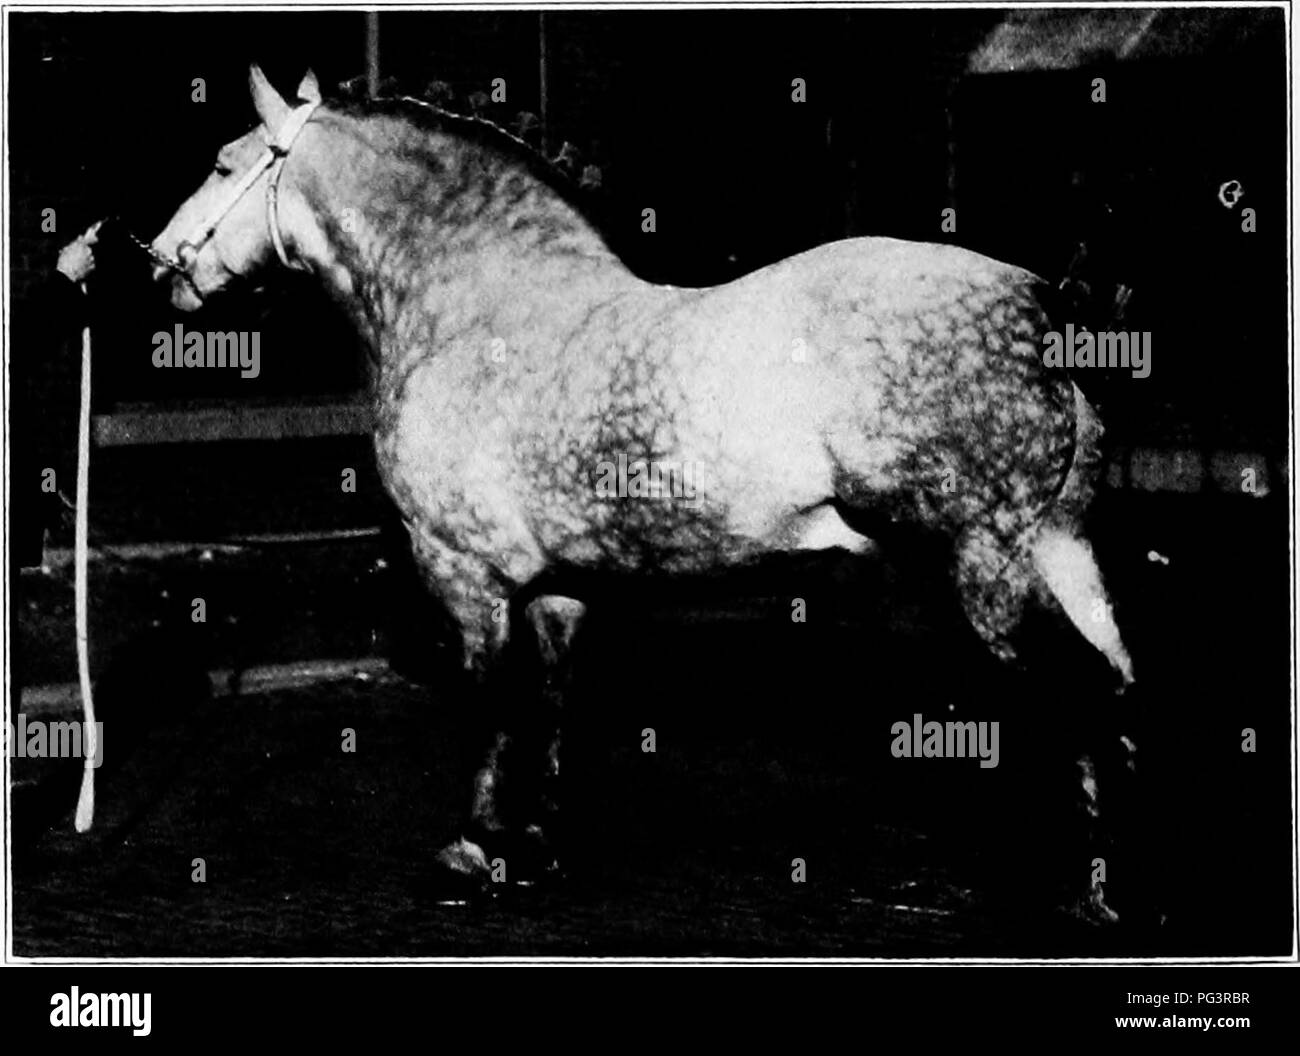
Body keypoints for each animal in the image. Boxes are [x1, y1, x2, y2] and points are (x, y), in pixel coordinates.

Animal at [150, 67, 1140, 922]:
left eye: (226, 163)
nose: (162, 262)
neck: (477, 316)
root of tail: (1046, 304)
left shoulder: (465, 576)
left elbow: (492, 707)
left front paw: (473, 849)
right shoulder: (556, 587)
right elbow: (548, 707)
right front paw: (536, 843)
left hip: (983, 576)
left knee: (1075, 698)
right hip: (1061, 554)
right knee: (1117, 690)